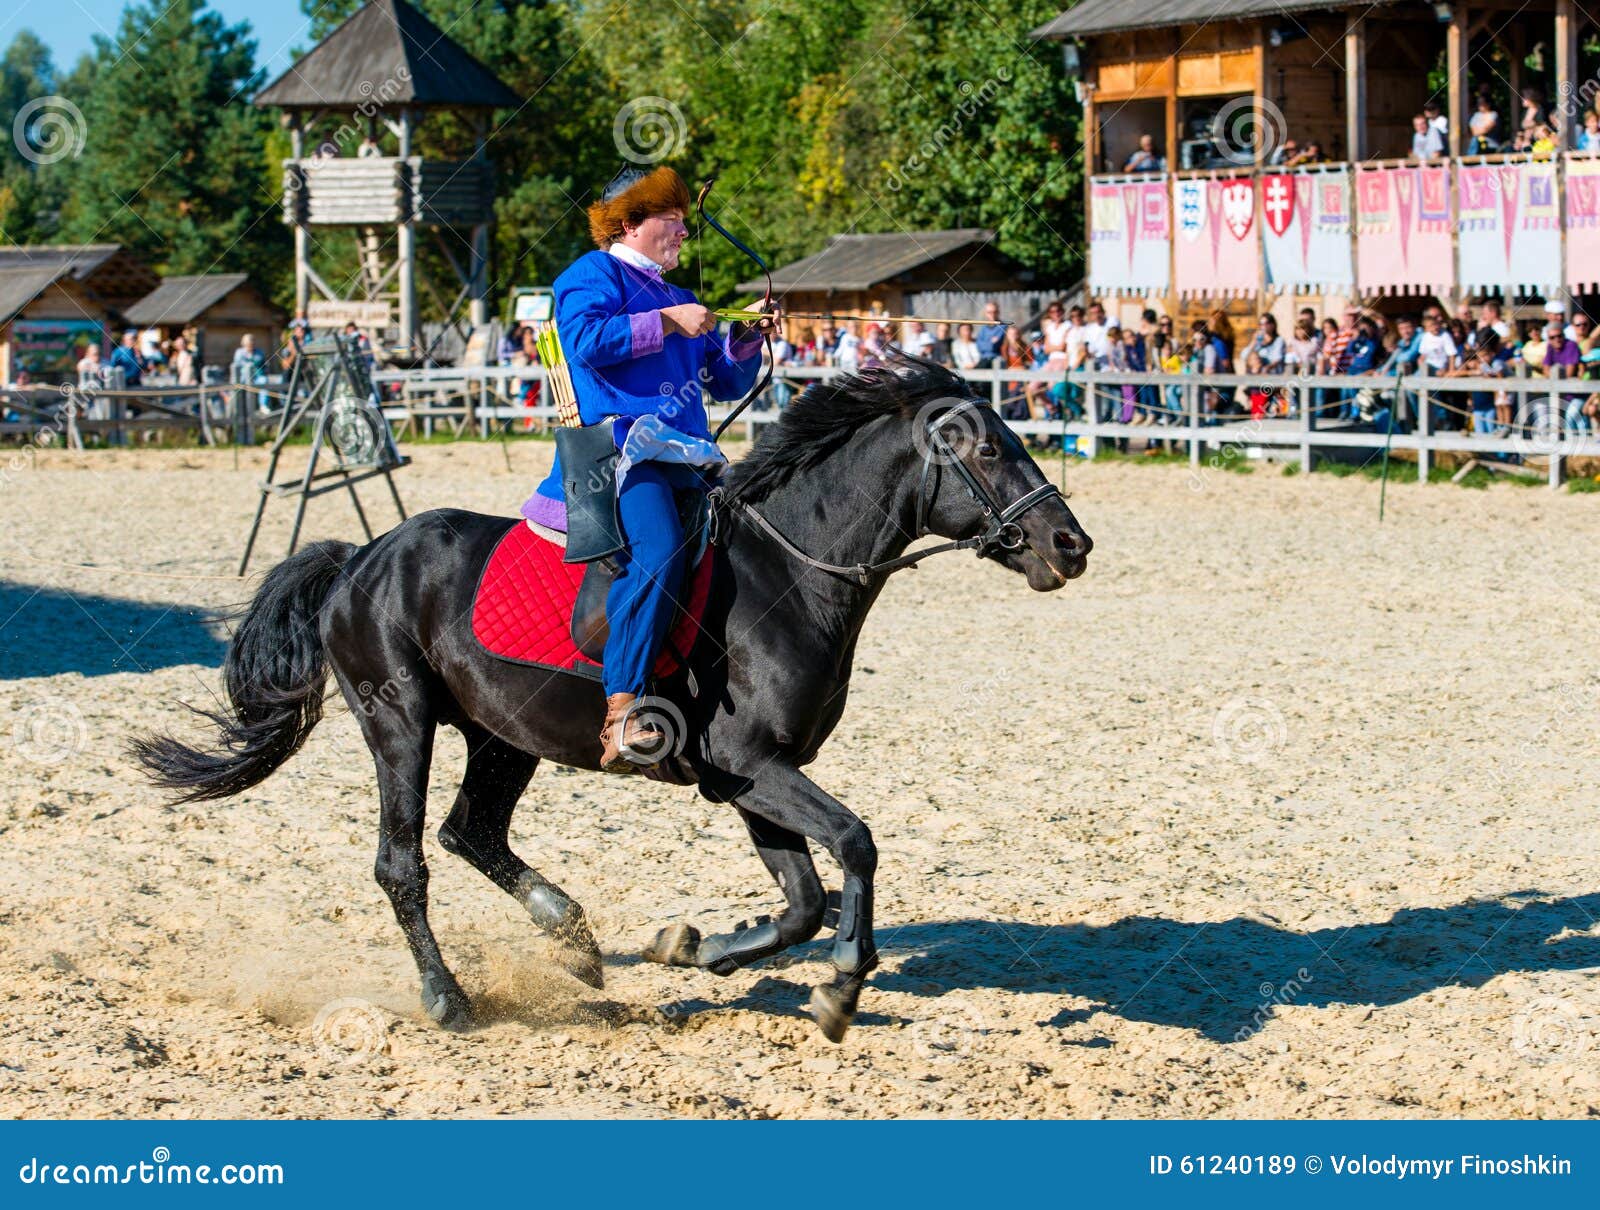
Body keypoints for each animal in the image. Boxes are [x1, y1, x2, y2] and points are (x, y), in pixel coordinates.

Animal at [134, 358, 1093, 1042]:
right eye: (987, 450)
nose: (1070, 544)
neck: (788, 573)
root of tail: (360, 557)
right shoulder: (752, 766)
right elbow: (854, 845)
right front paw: (843, 986)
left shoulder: (752, 778)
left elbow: (800, 903)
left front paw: (702, 949)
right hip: (398, 722)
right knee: (403, 863)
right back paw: (449, 999)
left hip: (502, 736)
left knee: (470, 832)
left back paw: (575, 940)